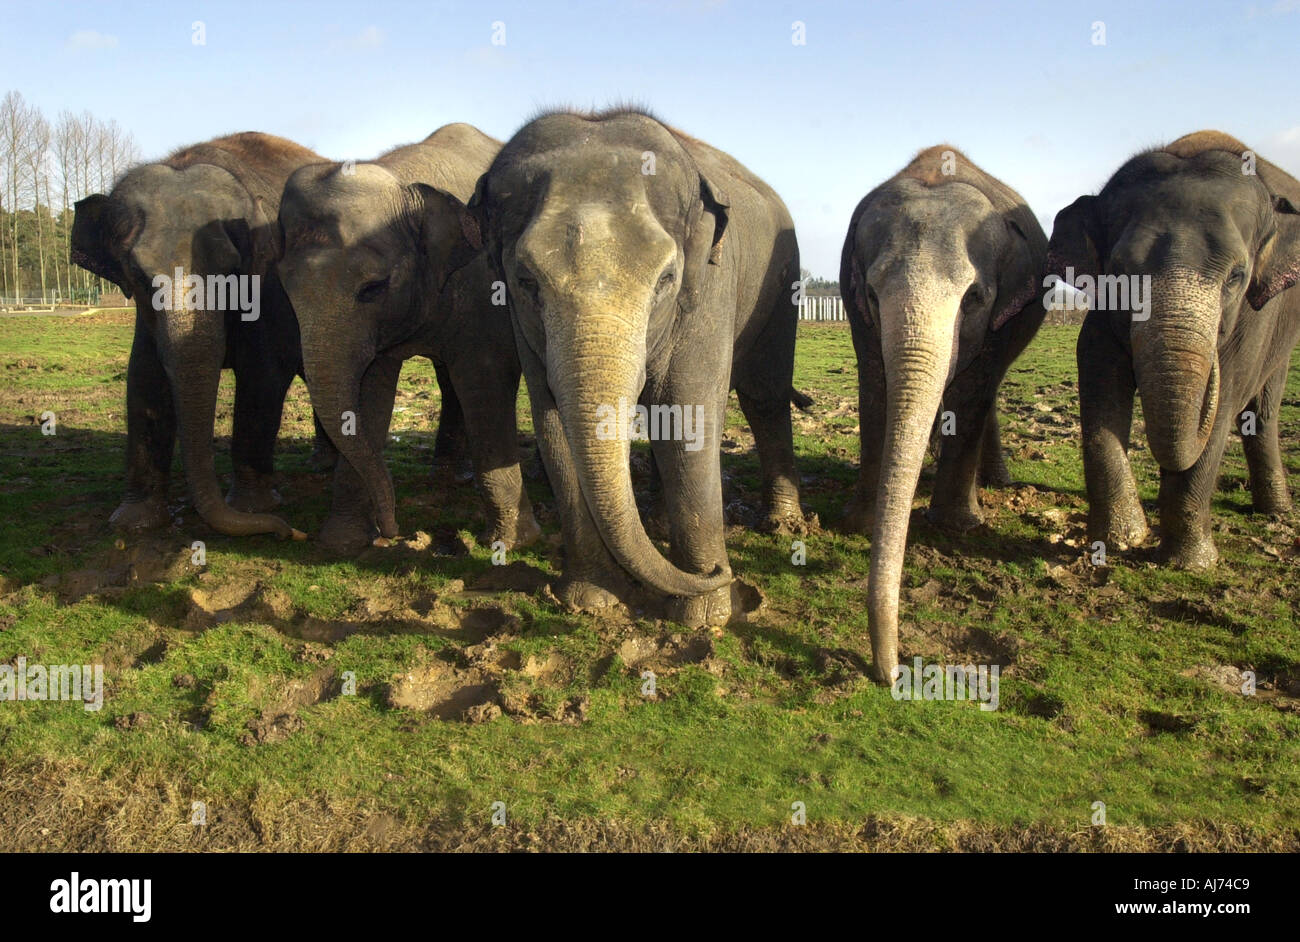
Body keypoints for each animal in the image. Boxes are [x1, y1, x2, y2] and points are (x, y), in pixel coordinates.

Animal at [70, 132, 334, 539]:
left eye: (231, 272)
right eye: (138, 275)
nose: (289, 532)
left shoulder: (271, 284)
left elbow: (263, 374)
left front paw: (254, 506)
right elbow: (144, 379)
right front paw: (133, 522)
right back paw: (323, 463)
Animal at [275, 123, 540, 556]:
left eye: (373, 288)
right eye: (287, 289)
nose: (392, 530)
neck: (404, 181)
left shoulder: (482, 288)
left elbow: (485, 384)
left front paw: (511, 543)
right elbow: (369, 395)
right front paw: (342, 543)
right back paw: (448, 477)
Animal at [471, 107, 805, 626]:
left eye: (666, 279)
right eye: (526, 281)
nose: (722, 571)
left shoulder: (708, 288)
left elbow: (689, 415)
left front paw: (706, 615)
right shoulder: (523, 326)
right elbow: (553, 425)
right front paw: (590, 599)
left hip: (783, 282)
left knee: (764, 396)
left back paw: (782, 525)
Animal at [839, 146, 1048, 682]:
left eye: (974, 298)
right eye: (873, 294)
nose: (890, 673)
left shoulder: (1003, 320)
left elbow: (973, 391)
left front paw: (957, 525)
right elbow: (876, 387)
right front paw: (862, 523)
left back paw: (989, 487)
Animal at [1050, 131, 1300, 569]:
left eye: (1237, 276)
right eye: (1118, 270)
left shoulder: (1256, 317)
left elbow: (1227, 396)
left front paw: (1190, 563)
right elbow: (1098, 372)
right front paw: (1122, 539)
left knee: (1264, 407)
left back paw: (1276, 512)